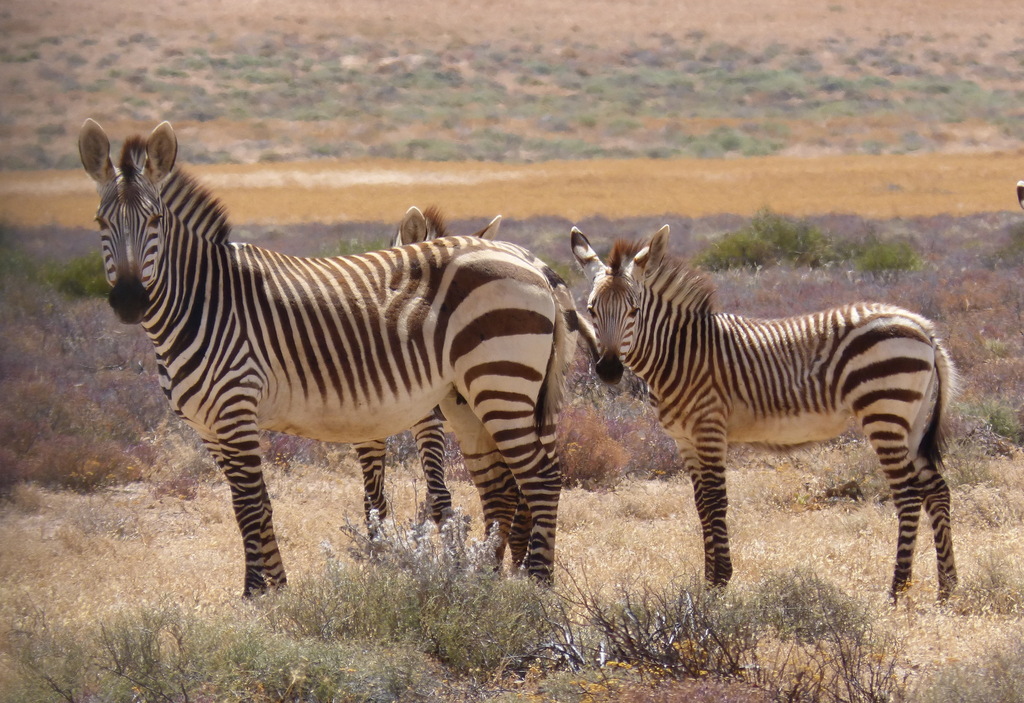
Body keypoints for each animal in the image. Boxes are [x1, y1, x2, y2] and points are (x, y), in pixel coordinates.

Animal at [78, 118, 578, 595]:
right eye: (100, 223)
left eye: (155, 220)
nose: (129, 301)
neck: (206, 302)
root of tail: (530, 262)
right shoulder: (210, 426)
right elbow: (253, 504)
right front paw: (274, 586)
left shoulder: (236, 410)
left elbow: (249, 504)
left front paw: (258, 594)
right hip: (468, 396)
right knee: (499, 486)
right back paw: (485, 579)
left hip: (500, 381)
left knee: (540, 477)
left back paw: (537, 583)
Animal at [571, 225, 959, 601]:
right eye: (591, 310)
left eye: (634, 310)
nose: (608, 370)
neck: (681, 354)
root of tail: (920, 325)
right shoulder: (686, 439)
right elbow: (700, 504)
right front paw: (708, 580)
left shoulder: (710, 428)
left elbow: (715, 500)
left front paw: (720, 581)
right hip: (910, 420)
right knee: (936, 490)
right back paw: (947, 588)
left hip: (884, 410)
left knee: (908, 494)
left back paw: (897, 589)